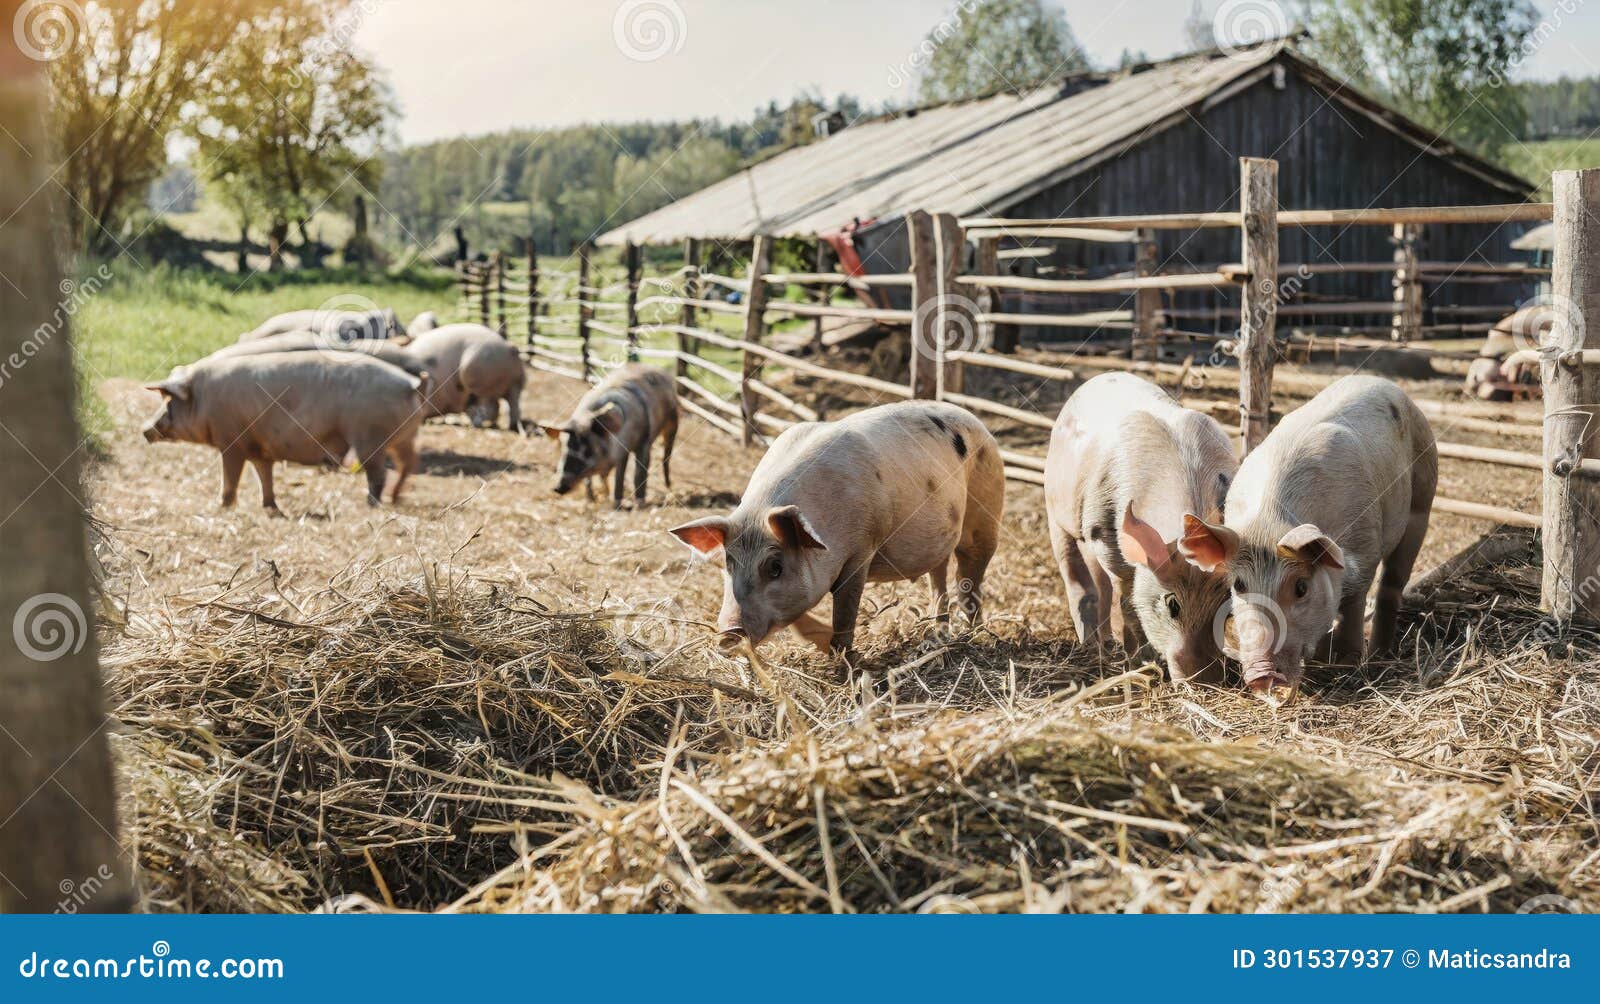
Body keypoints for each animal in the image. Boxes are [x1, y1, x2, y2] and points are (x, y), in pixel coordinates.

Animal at [141, 352, 427, 511]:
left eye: (169, 402)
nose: (144, 429)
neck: (203, 398)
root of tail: (410, 384)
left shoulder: (231, 442)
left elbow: (230, 479)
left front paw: (221, 506)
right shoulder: (259, 449)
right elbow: (264, 476)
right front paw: (270, 506)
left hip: (370, 437)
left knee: (378, 473)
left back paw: (371, 503)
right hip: (403, 436)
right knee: (408, 462)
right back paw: (394, 497)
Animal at [539, 363, 678, 507]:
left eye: (587, 451)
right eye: (562, 449)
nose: (556, 488)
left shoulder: (642, 442)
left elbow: (637, 474)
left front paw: (636, 505)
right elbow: (592, 479)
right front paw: (592, 500)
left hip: (673, 421)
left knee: (666, 456)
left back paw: (669, 487)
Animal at [668, 400, 1004, 655]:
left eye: (775, 566)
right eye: (728, 562)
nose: (730, 632)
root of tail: (979, 423)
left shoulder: (862, 549)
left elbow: (845, 609)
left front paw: (839, 655)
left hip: (986, 519)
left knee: (969, 580)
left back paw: (975, 635)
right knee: (939, 580)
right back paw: (938, 634)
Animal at [1043, 373, 1237, 682]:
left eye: (1227, 609)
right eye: (1172, 605)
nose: (1205, 680)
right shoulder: (1102, 531)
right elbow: (1128, 599)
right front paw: (1140, 663)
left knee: (1101, 586)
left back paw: (1108, 644)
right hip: (1056, 507)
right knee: (1078, 577)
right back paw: (1093, 648)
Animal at [1178, 375, 1437, 693]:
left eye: (1301, 587)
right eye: (1239, 585)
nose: (1261, 674)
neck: (1269, 525)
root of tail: (1385, 382)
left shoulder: (1365, 548)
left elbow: (1352, 603)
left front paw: (1343, 662)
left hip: (1423, 496)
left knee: (1392, 582)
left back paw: (1379, 654)